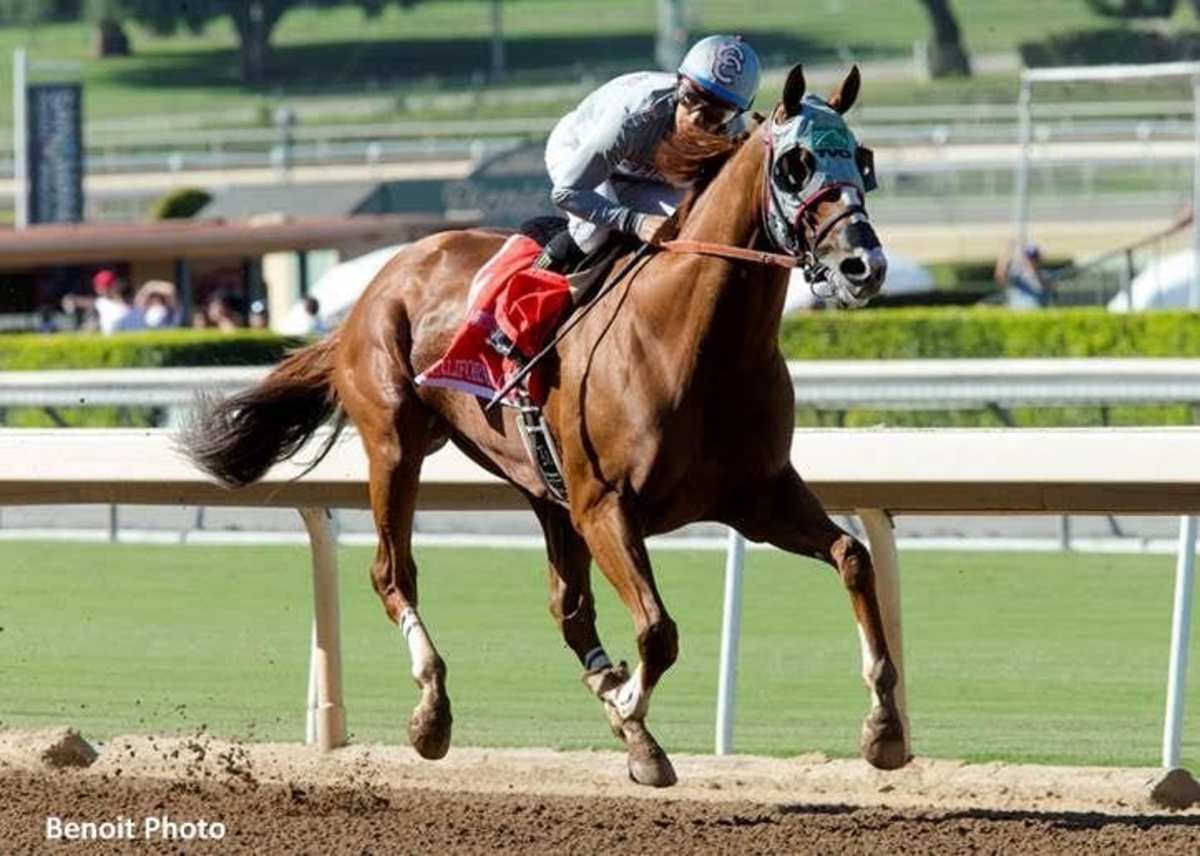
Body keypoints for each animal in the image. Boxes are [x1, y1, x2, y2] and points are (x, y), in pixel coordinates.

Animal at [182, 64, 907, 787]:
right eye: (794, 164)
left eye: (863, 159)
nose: (863, 266)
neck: (691, 339)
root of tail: (381, 280)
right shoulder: (605, 506)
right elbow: (658, 630)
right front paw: (627, 707)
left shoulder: (756, 495)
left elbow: (853, 558)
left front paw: (884, 729)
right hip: (395, 443)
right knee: (393, 573)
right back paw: (433, 712)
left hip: (541, 485)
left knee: (568, 608)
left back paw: (612, 707)